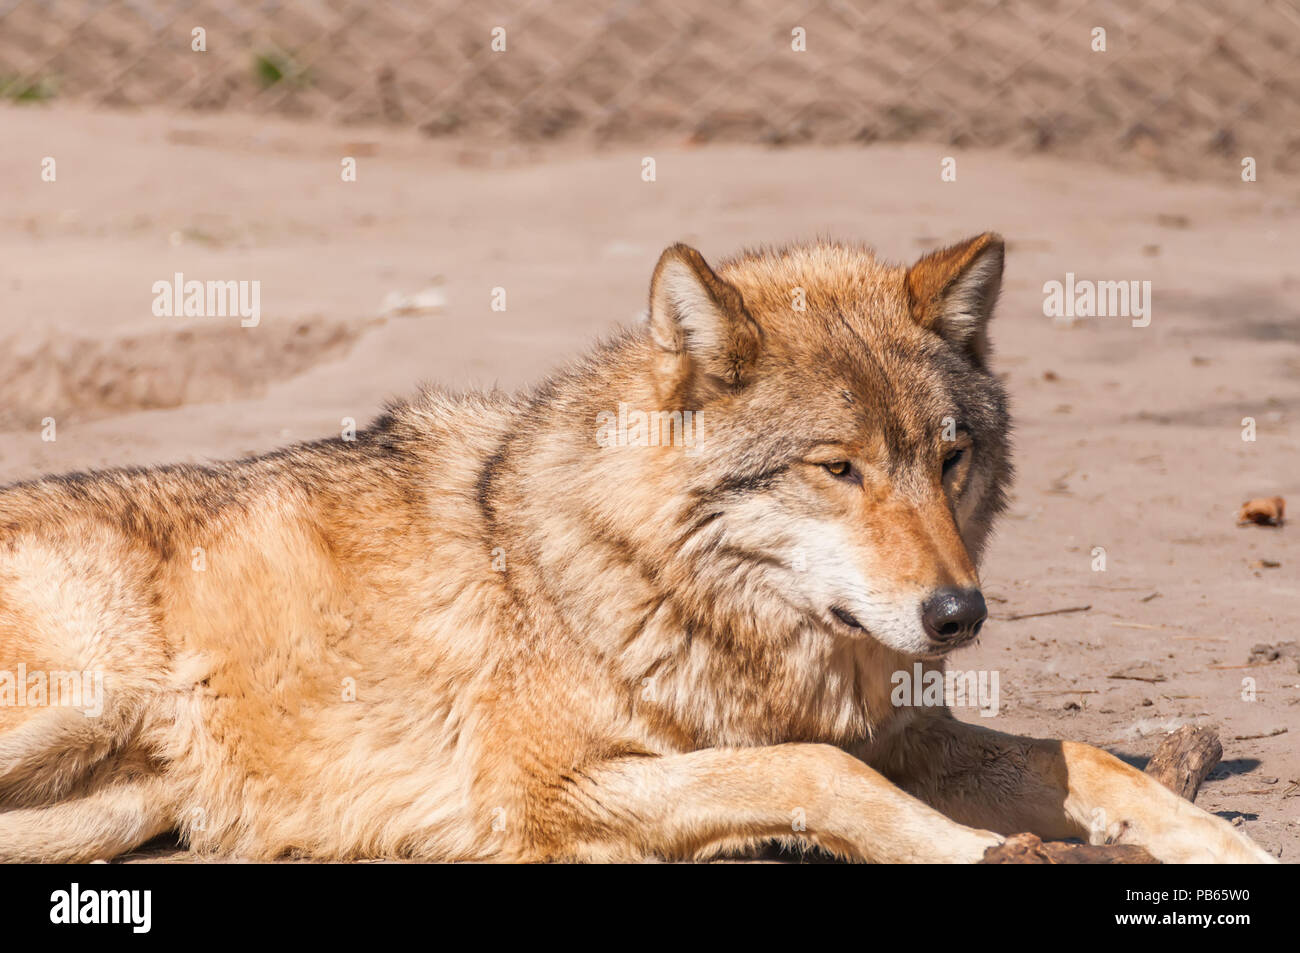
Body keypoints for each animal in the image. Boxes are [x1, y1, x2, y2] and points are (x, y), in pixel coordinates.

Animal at [0, 234, 1274, 863]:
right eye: (838, 468)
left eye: (948, 457)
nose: (957, 615)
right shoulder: (543, 790)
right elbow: (815, 771)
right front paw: (990, 855)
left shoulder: (911, 735)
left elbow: (1093, 762)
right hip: (88, 704)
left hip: (114, 803)